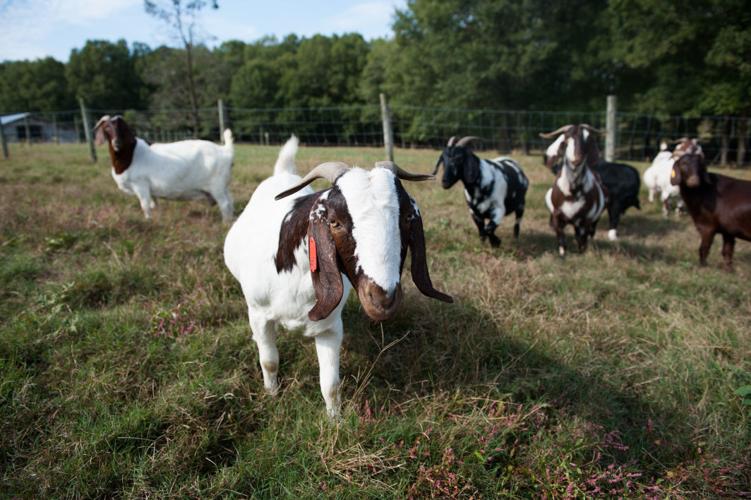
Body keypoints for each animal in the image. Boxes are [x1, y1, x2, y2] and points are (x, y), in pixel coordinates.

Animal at [93, 115, 235, 222]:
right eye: (107, 128)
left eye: (123, 127)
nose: (117, 143)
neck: (130, 156)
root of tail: (225, 151)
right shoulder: (150, 190)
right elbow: (154, 206)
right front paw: (158, 221)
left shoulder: (140, 184)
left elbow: (145, 206)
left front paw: (148, 222)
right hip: (223, 185)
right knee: (230, 201)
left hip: (216, 185)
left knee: (225, 204)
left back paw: (225, 224)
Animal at [223, 136, 452, 417]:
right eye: (334, 222)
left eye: (408, 217)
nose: (383, 298)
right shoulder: (258, 314)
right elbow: (269, 362)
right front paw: (272, 395)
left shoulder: (330, 328)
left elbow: (330, 384)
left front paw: (335, 419)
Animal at [541, 124, 607, 256]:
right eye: (566, 141)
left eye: (587, 140)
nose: (576, 160)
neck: (573, 191)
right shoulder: (556, 214)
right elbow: (560, 235)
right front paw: (562, 253)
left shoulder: (585, 219)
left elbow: (582, 239)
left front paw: (582, 252)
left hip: (594, 219)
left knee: (589, 233)